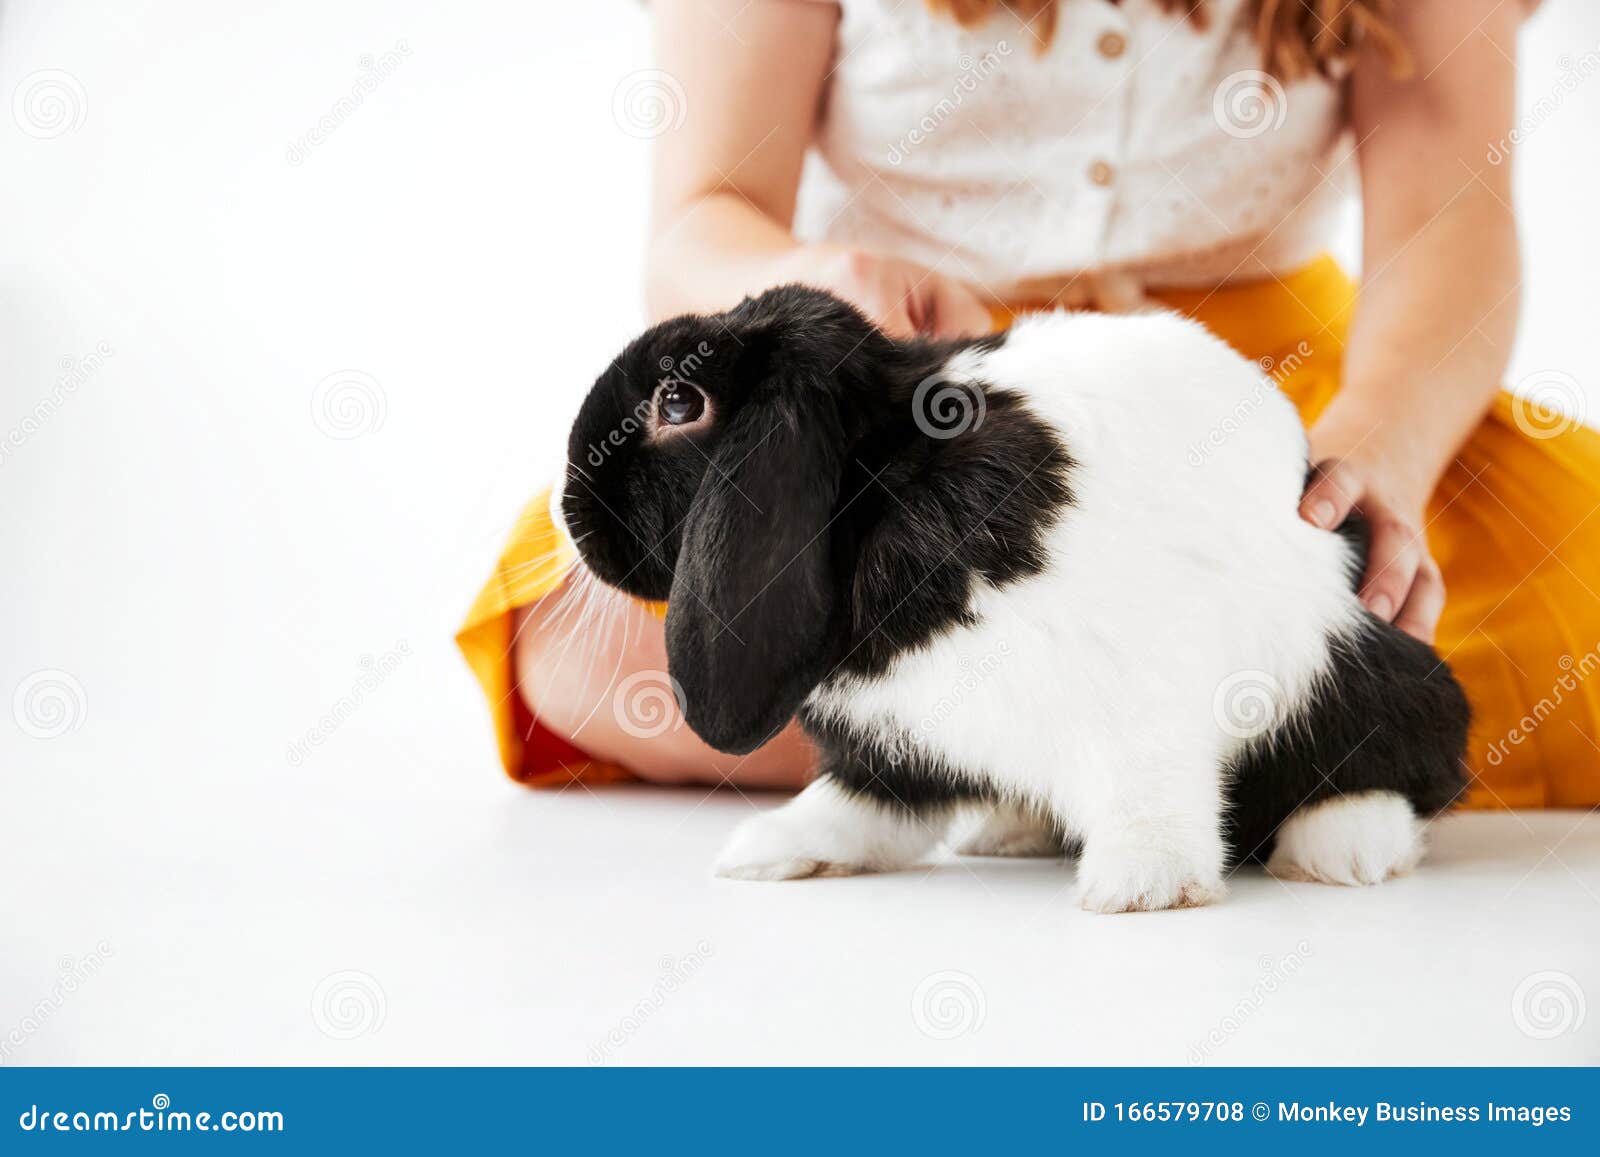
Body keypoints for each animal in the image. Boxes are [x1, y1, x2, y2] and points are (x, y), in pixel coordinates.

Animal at [559, 285, 1469, 912]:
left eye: (680, 402)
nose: (570, 511)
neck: (890, 488)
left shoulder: (1139, 690)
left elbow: (1152, 783)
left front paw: (1142, 886)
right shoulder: (905, 736)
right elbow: (867, 803)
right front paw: (773, 847)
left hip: (1347, 661)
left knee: (1411, 755)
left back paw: (1342, 847)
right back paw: (1011, 827)